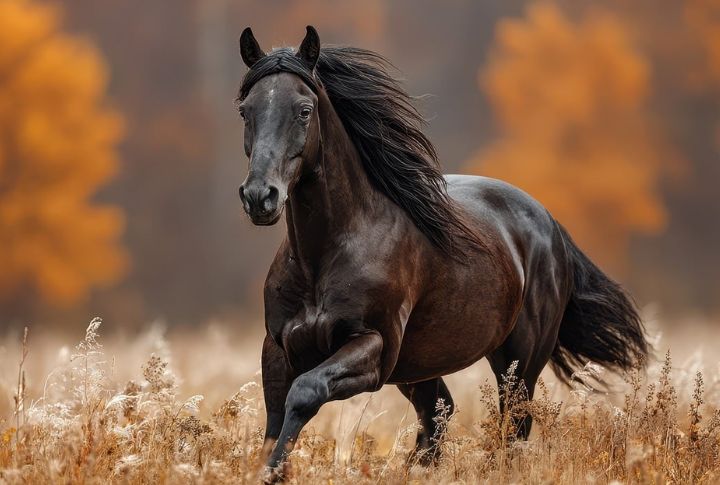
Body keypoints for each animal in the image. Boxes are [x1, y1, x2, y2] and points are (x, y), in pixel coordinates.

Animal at [234, 26, 649, 483]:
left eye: (304, 110)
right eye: (246, 111)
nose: (260, 197)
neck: (324, 257)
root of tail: (550, 224)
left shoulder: (373, 348)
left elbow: (305, 392)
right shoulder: (277, 349)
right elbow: (275, 420)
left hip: (519, 361)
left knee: (512, 426)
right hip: (420, 366)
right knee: (440, 414)